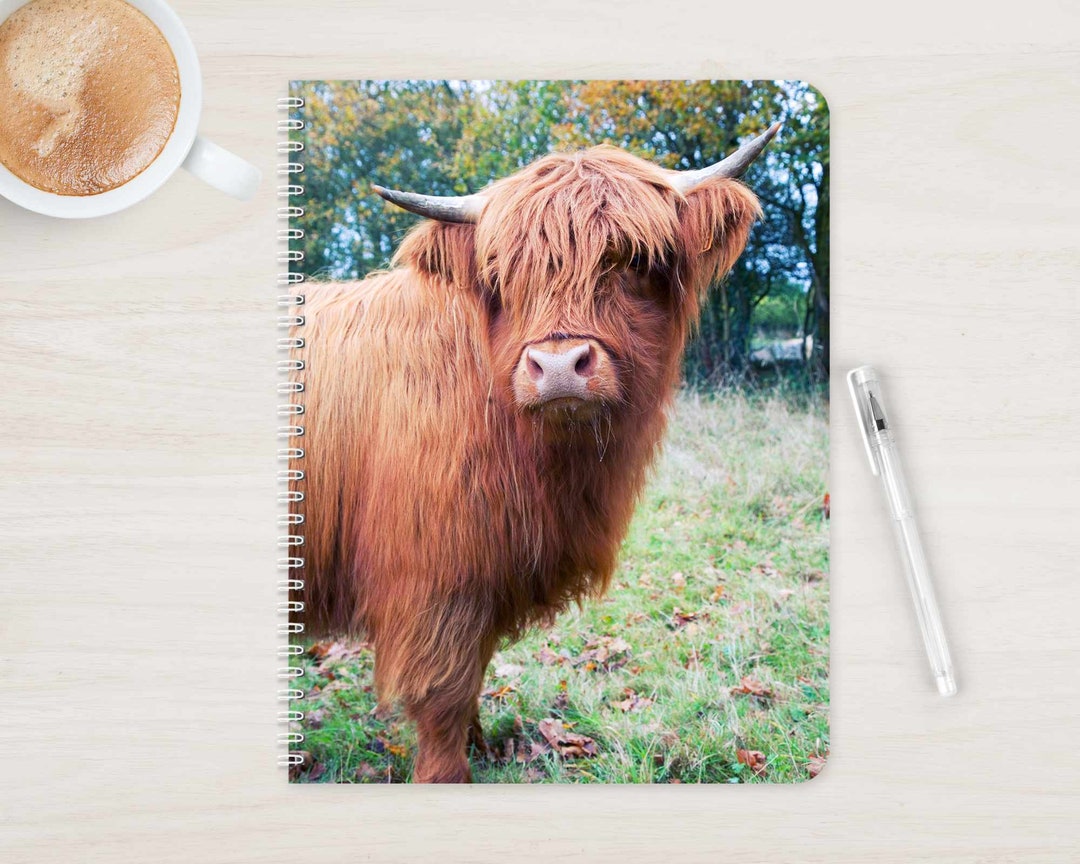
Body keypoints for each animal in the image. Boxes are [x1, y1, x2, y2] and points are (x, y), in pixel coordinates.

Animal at [290, 122, 779, 782]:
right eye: (502, 273)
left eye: (631, 260)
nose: (559, 366)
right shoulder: (434, 579)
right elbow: (443, 691)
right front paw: (447, 774)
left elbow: (471, 679)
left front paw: (481, 746)